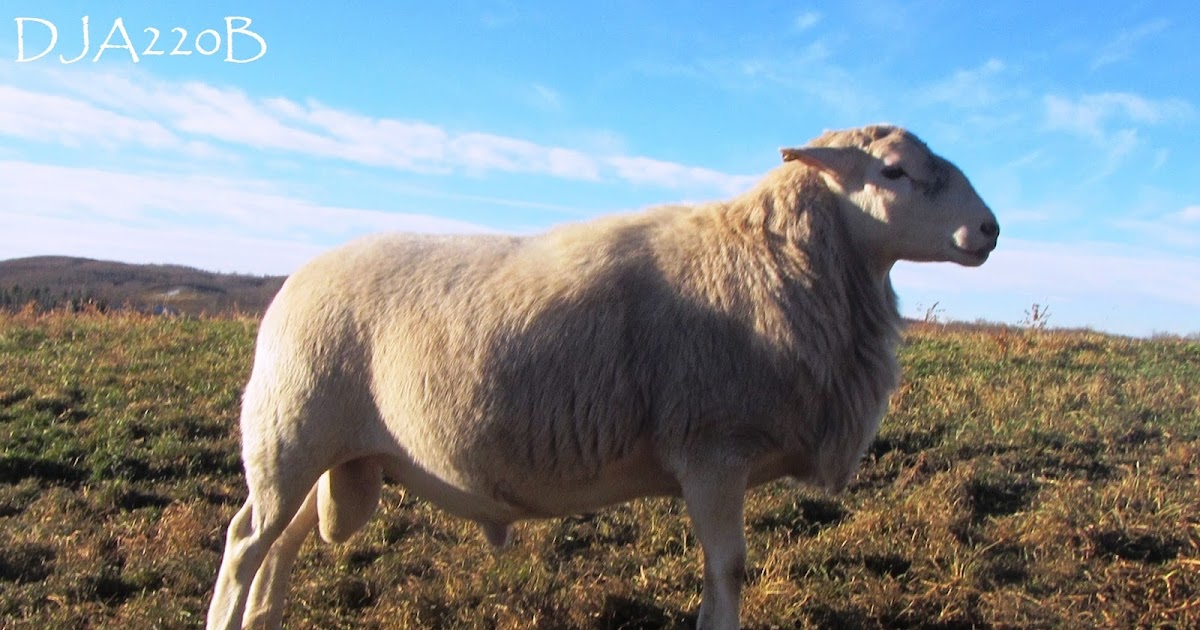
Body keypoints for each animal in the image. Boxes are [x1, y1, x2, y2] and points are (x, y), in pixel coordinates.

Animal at [206, 124, 999, 630]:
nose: (990, 230)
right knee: (246, 542)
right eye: (893, 171)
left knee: (279, 549)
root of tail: (294, 281)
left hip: (334, 454)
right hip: (288, 434)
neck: (775, 260)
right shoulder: (713, 451)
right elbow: (730, 571)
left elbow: (721, 574)